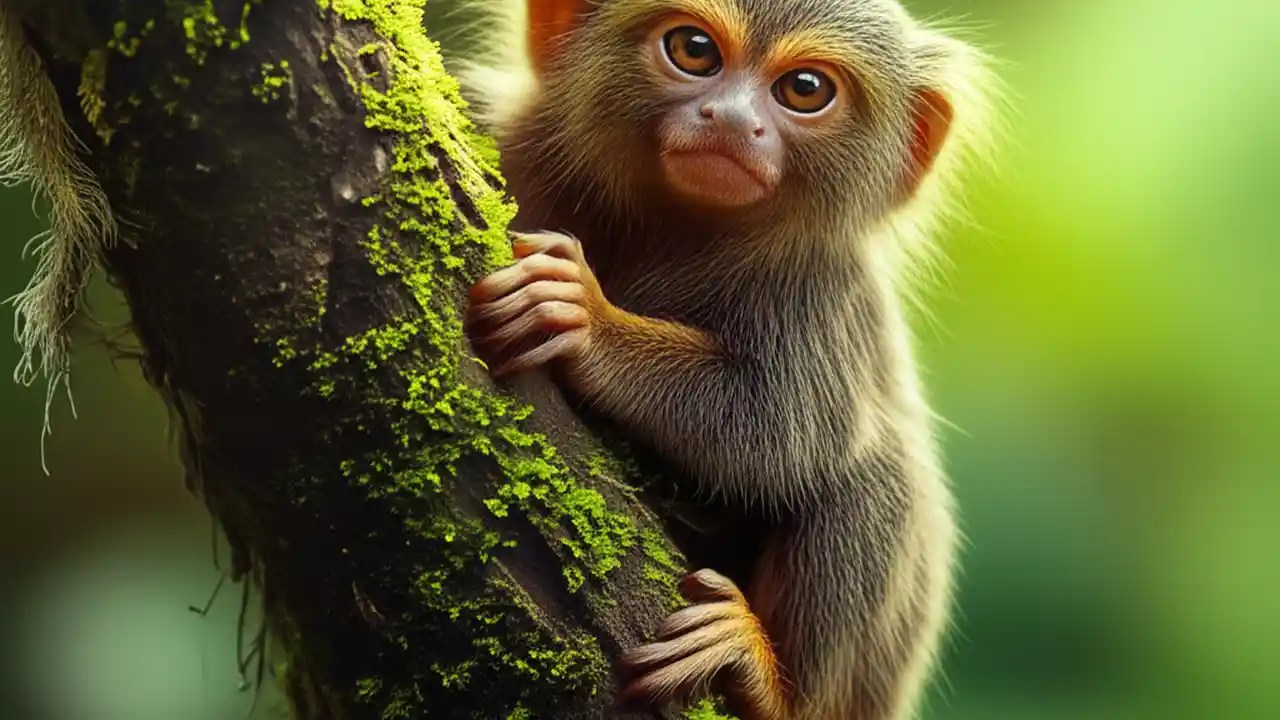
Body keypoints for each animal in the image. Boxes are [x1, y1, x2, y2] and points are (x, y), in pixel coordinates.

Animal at [461, 1, 998, 718]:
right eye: (693, 50)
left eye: (805, 90)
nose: (736, 120)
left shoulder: (815, 287)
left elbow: (782, 435)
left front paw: (589, 322)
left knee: (876, 474)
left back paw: (765, 681)